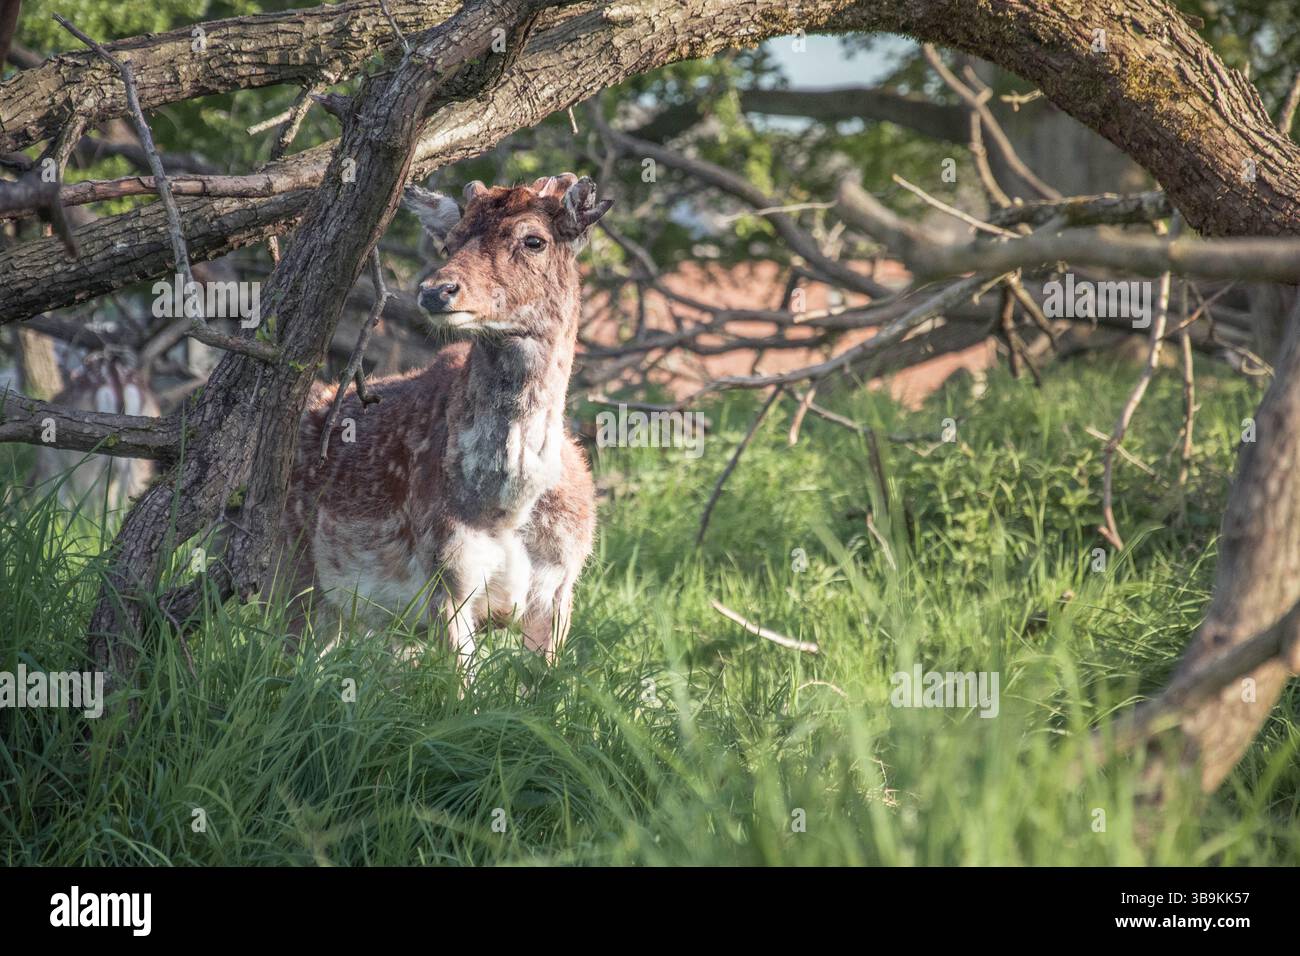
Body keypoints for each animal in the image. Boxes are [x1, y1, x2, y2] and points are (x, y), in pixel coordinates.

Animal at [275, 173, 612, 679]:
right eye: (450, 241)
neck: (507, 508)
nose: (436, 290)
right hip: (288, 570)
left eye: (534, 239)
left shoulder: (559, 587)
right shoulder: (448, 576)